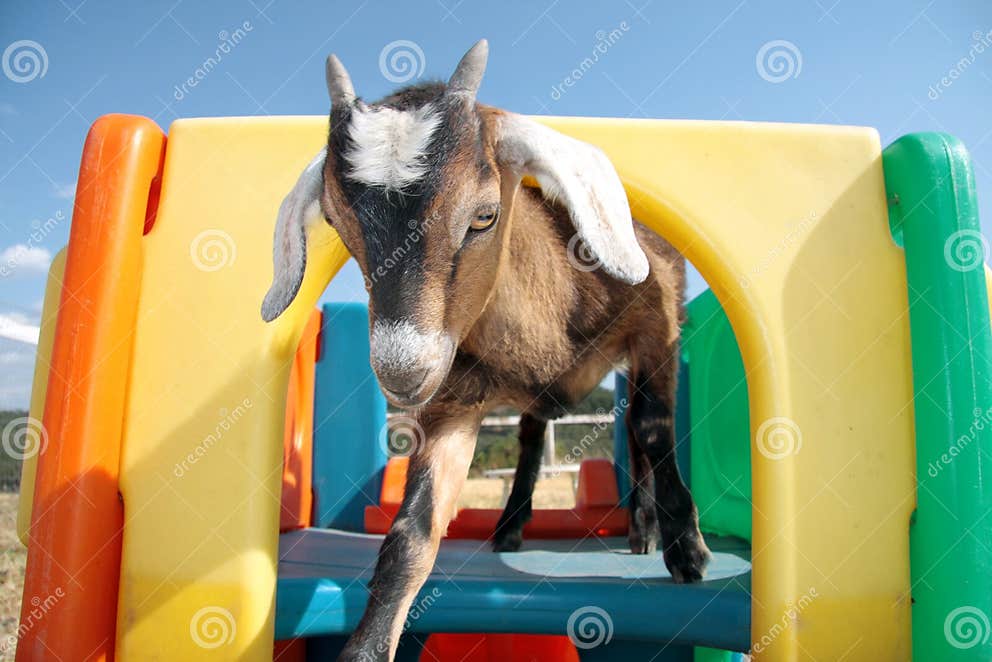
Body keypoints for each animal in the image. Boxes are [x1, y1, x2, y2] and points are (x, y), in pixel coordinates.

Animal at [262, 39, 710, 662]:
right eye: (337, 223)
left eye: (484, 215)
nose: (402, 372)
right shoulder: (453, 396)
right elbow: (411, 533)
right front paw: (368, 646)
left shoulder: (657, 316)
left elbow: (651, 425)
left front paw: (686, 547)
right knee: (531, 434)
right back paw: (516, 524)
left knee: (636, 426)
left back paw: (645, 528)